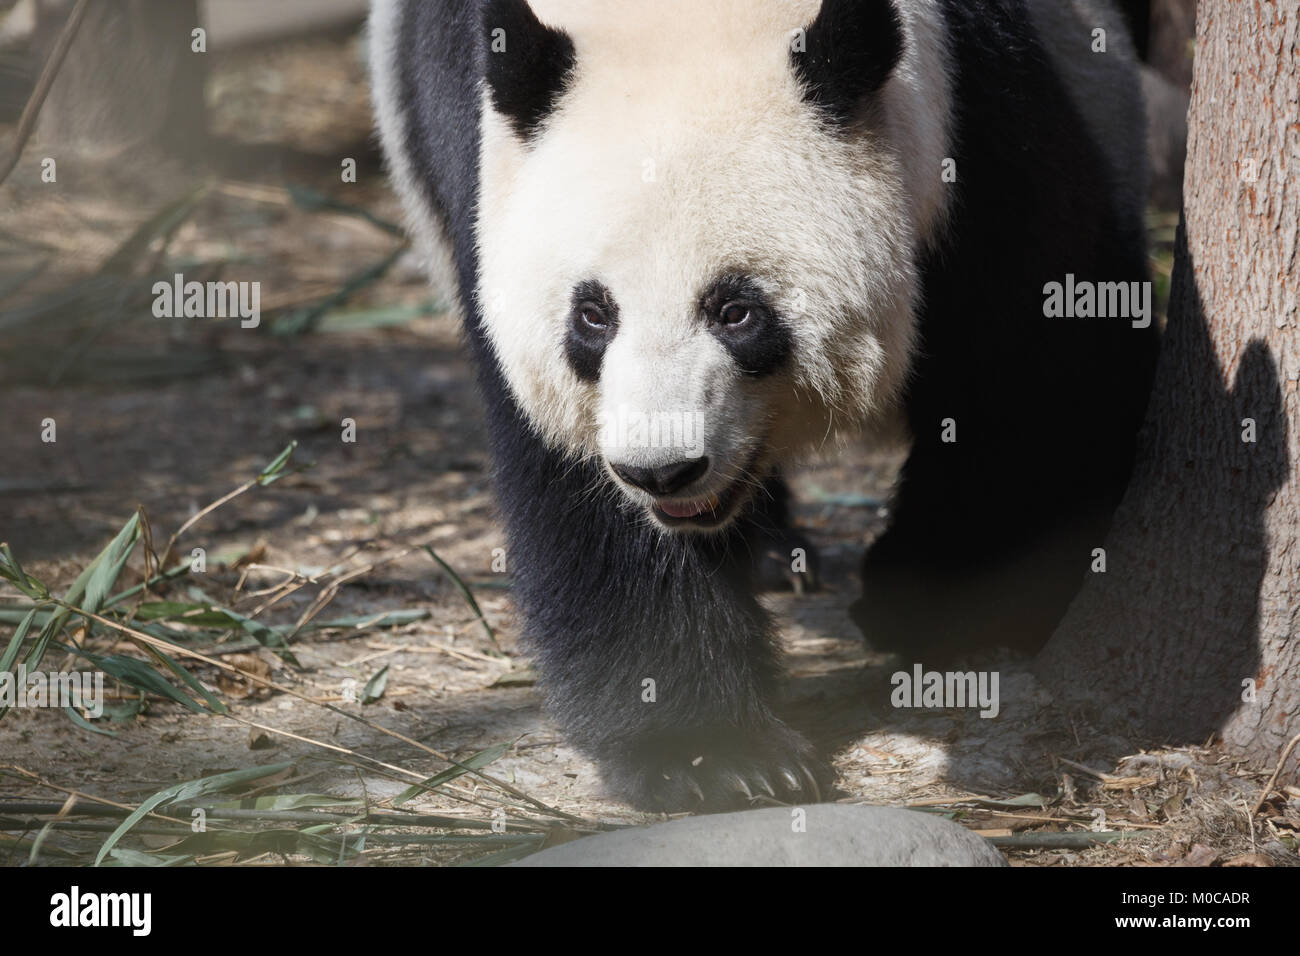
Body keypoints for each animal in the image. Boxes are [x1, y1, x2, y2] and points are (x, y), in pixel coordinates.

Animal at [370, 0, 1159, 811]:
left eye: (735, 311)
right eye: (593, 315)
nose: (662, 472)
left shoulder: (984, 103)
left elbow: (1032, 360)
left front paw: (946, 600)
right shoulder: (474, 151)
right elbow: (567, 472)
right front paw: (713, 755)